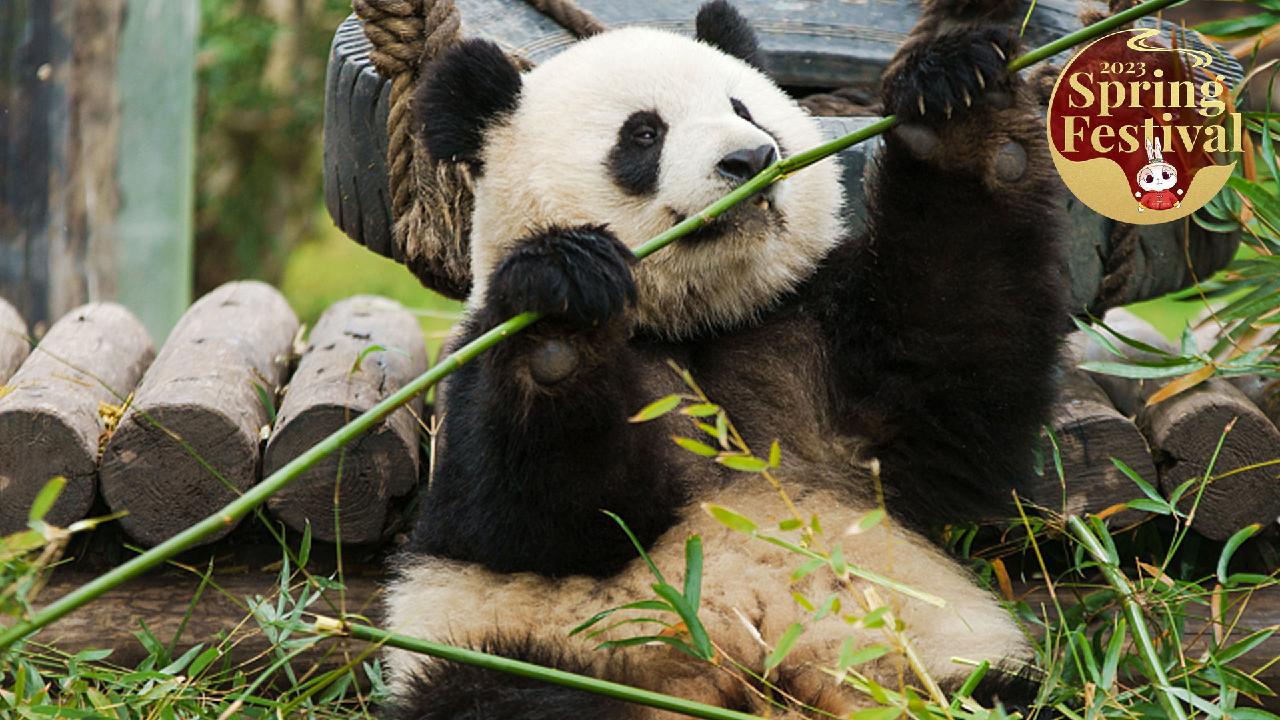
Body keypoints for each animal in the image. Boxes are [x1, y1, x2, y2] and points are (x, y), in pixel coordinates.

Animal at [384, 0, 1068, 716]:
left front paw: (959, 103)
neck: (694, 322)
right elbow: (533, 517)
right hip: (522, 648)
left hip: (921, 663)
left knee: (1002, 695)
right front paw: (560, 312)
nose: (750, 157)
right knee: (506, 694)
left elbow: (957, 350)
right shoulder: (465, 379)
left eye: (746, 109)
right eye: (643, 134)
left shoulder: (815, 340)